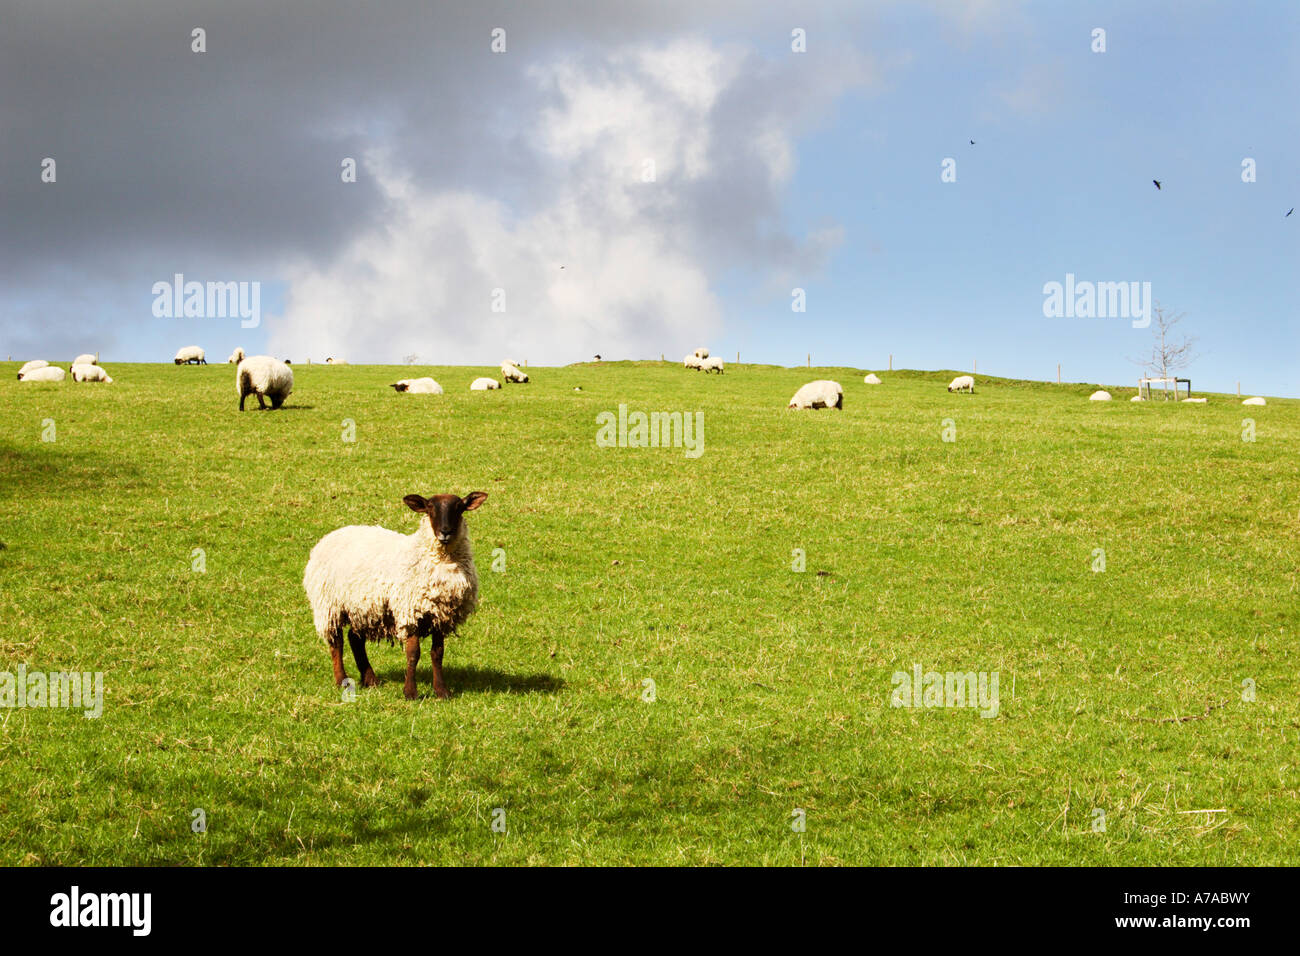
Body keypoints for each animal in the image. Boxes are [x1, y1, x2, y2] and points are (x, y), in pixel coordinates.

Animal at [303, 491, 488, 699]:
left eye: (459, 507)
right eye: (430, 508)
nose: (445, 532)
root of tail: (330, 536)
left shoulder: (441, 615)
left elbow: (437, 653)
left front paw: (442, 691)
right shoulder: (409, 613)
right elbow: (413, 653)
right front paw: (410, 692)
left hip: (363, 608)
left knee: (355, 639)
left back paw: (370, 679)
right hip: (329, 605)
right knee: (337, 642)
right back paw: (342, 680)